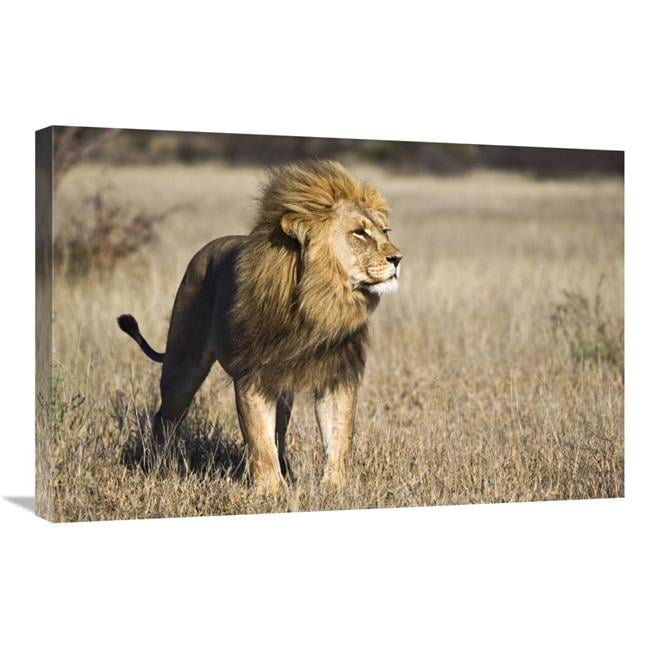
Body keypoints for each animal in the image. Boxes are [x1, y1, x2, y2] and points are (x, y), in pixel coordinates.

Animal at [117, 160, 401, 492]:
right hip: (182, 367)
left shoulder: (336, 374)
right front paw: (271, 492)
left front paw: (335, 489)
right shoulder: (252, 376)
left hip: (281, 390)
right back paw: (158, 466)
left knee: (279, 432)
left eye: (385, 231)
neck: (318, 304)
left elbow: (339, 438)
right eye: (359, 233)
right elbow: (259, 441)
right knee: (165, 416)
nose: (398, 259)